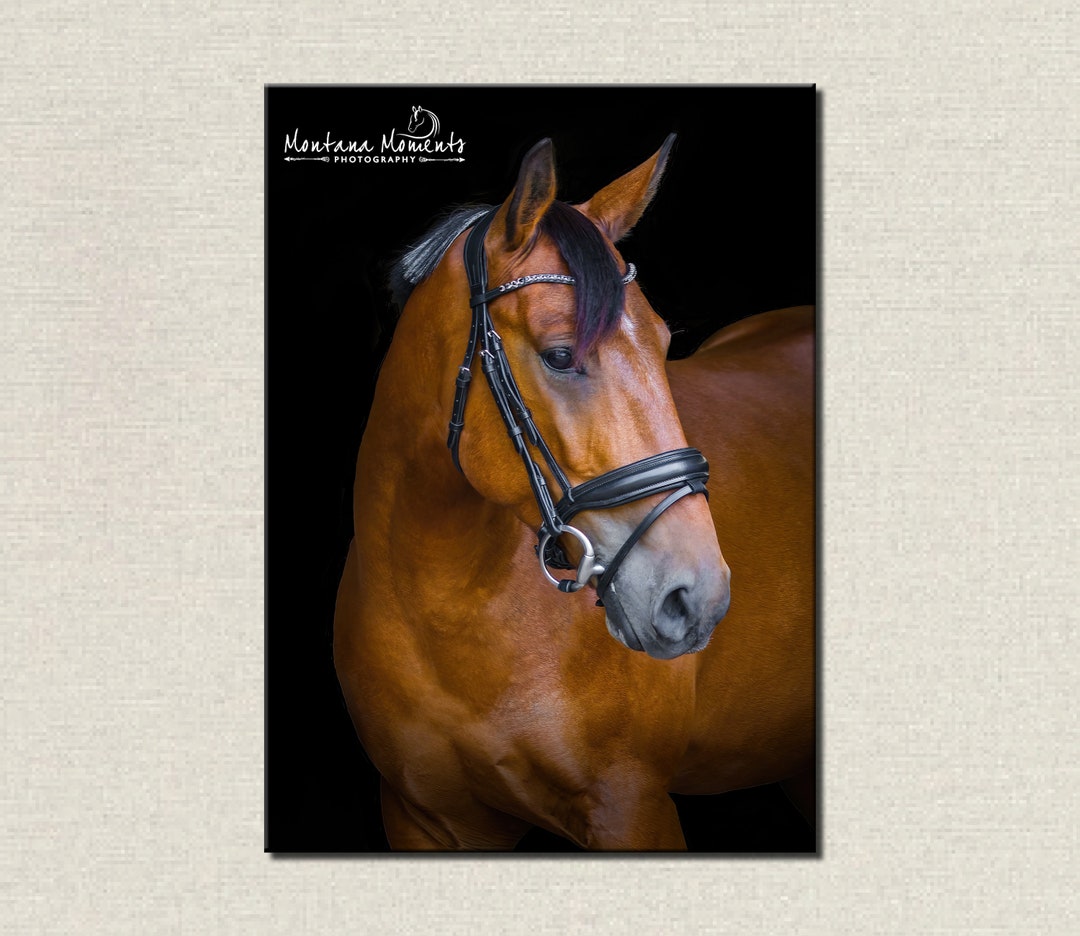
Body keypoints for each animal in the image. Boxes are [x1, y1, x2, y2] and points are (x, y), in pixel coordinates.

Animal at [333, 136, 815, 850]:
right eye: (561, 355)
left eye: (664, 345)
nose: (696, 596)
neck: (443, 610)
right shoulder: (424, 819)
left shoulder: (631, 809)